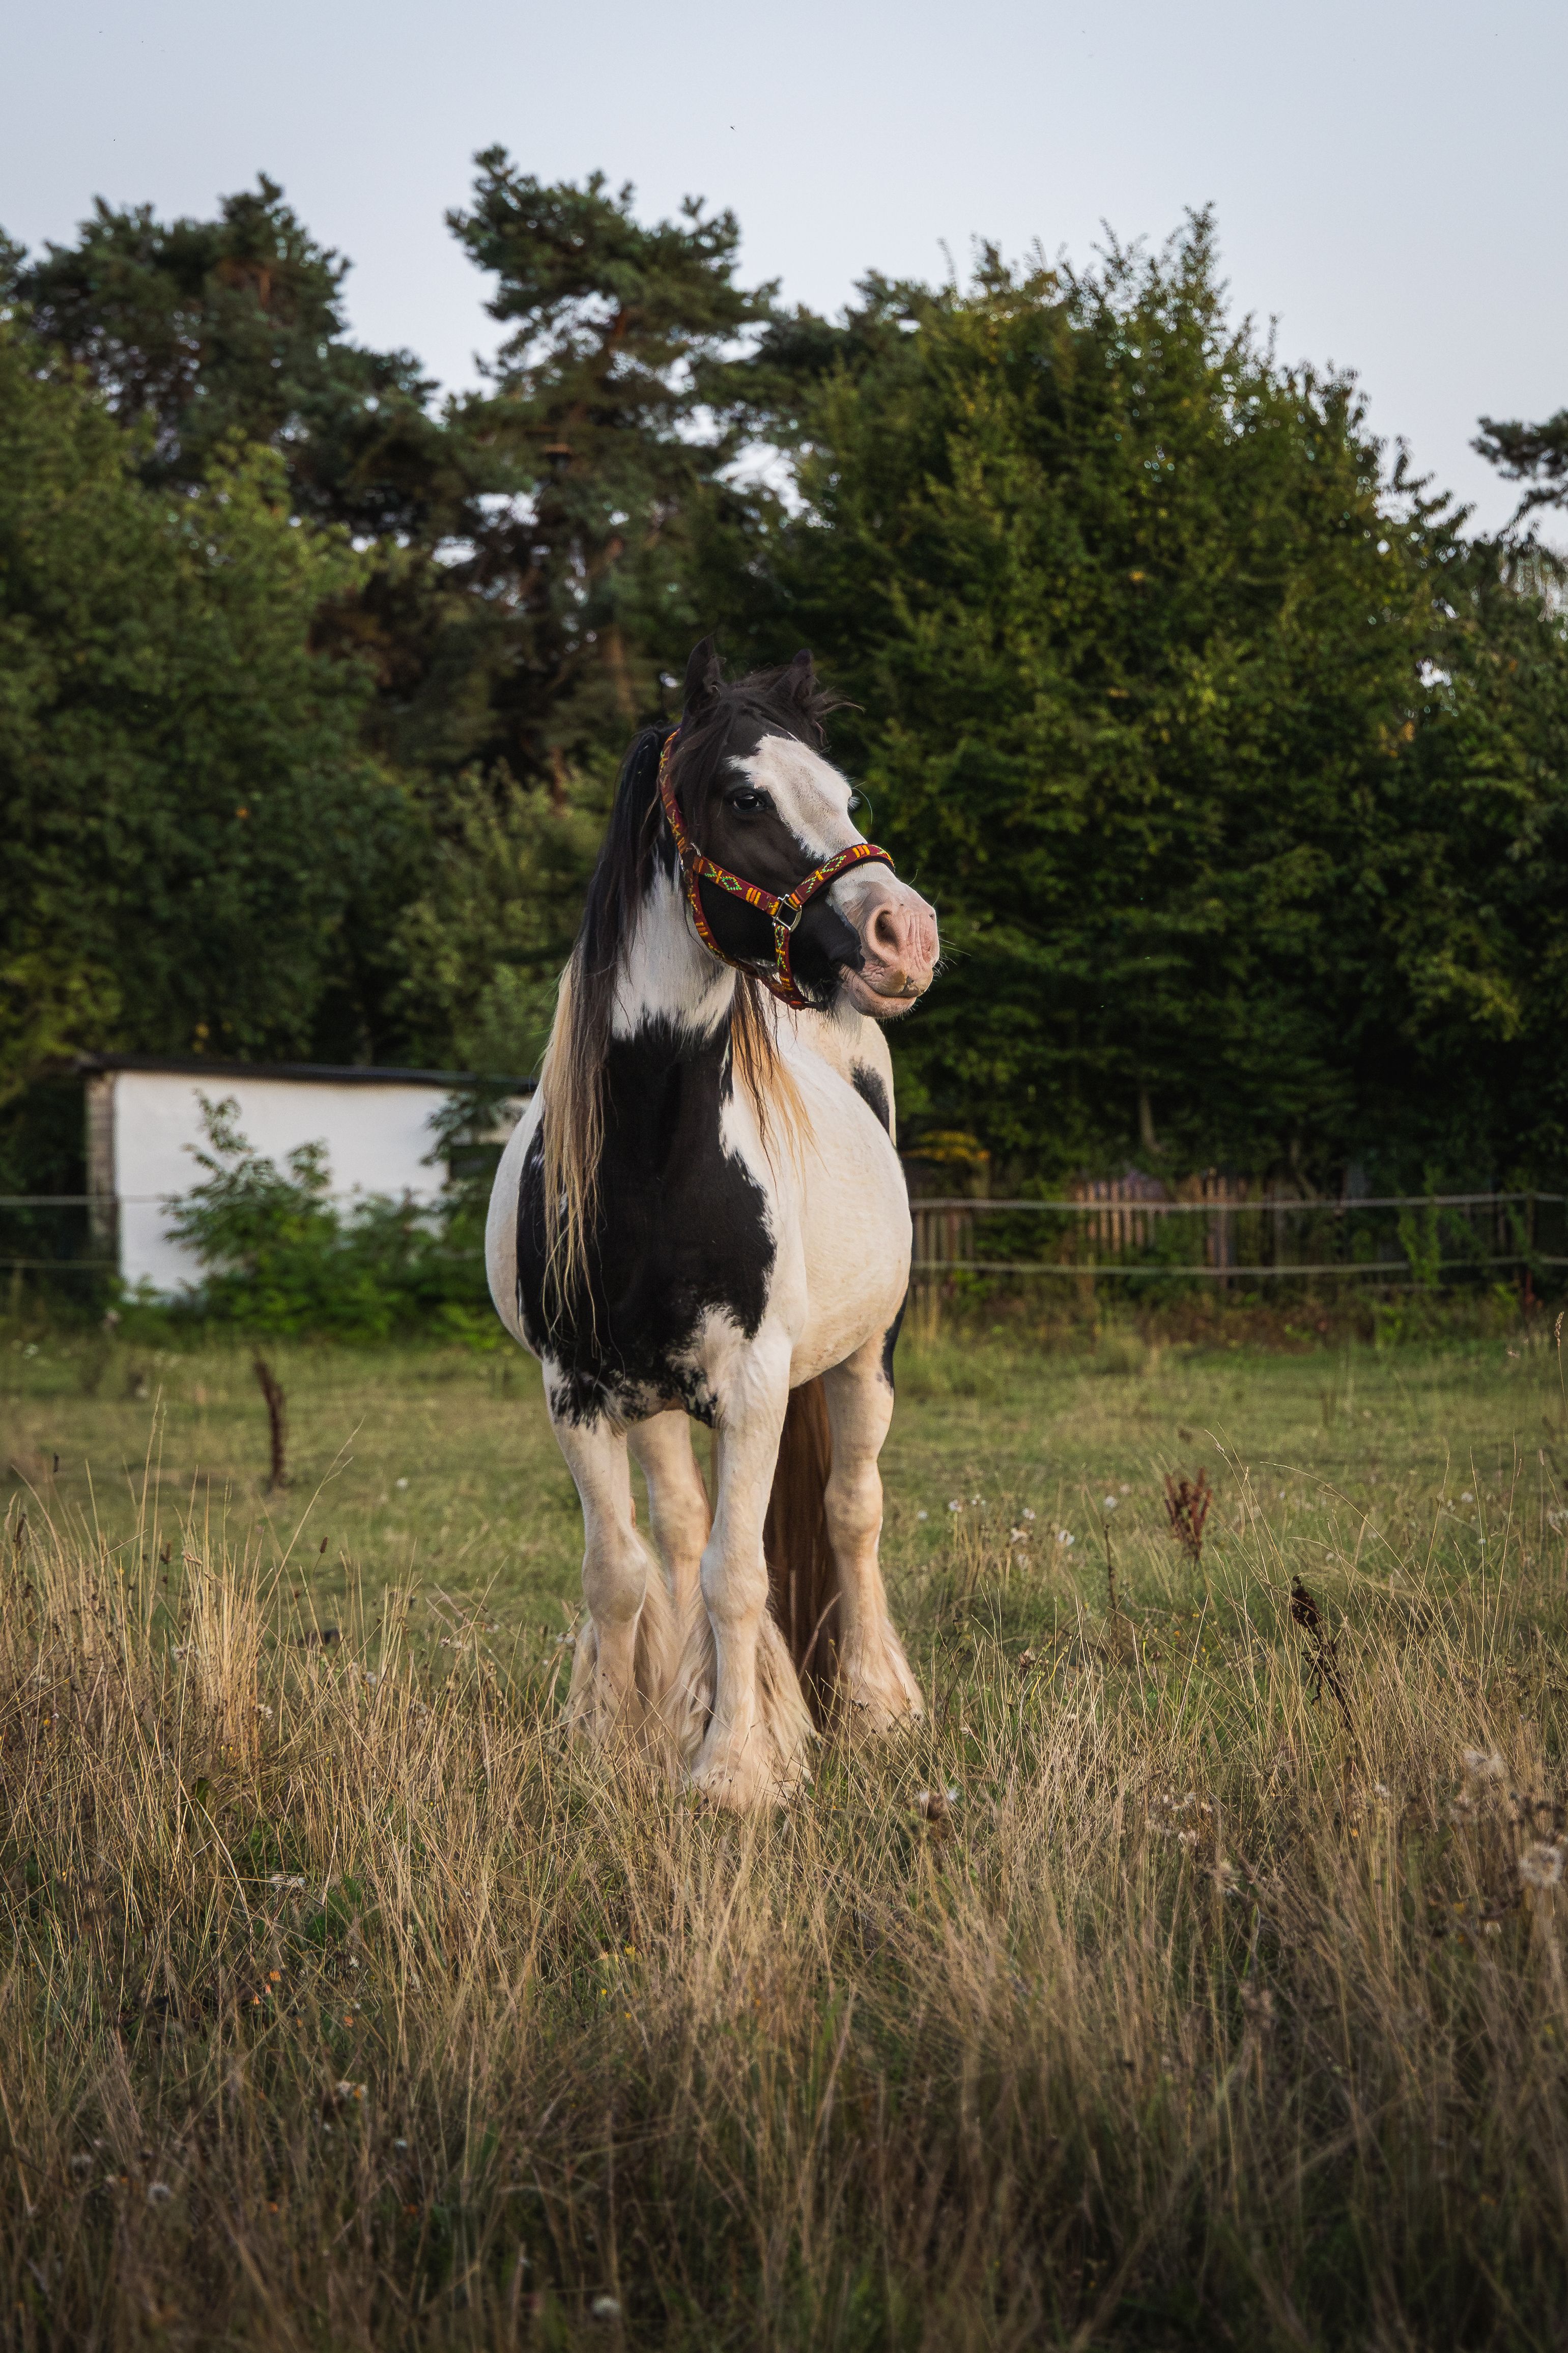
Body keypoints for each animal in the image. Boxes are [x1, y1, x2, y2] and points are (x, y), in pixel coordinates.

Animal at [485, 639, 940, 1809]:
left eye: (844, 794)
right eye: (744, 797)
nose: (904, 935)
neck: (652, 1162)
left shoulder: (753, 1384)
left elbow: (741, 1573)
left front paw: (734, 1768)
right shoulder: (576, 1389)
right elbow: (621, 1570)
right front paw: (614, 1747)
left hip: (863, 1359)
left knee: (851, 1513)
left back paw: (876, 1704)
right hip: (650, 1397)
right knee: (682, 1532)